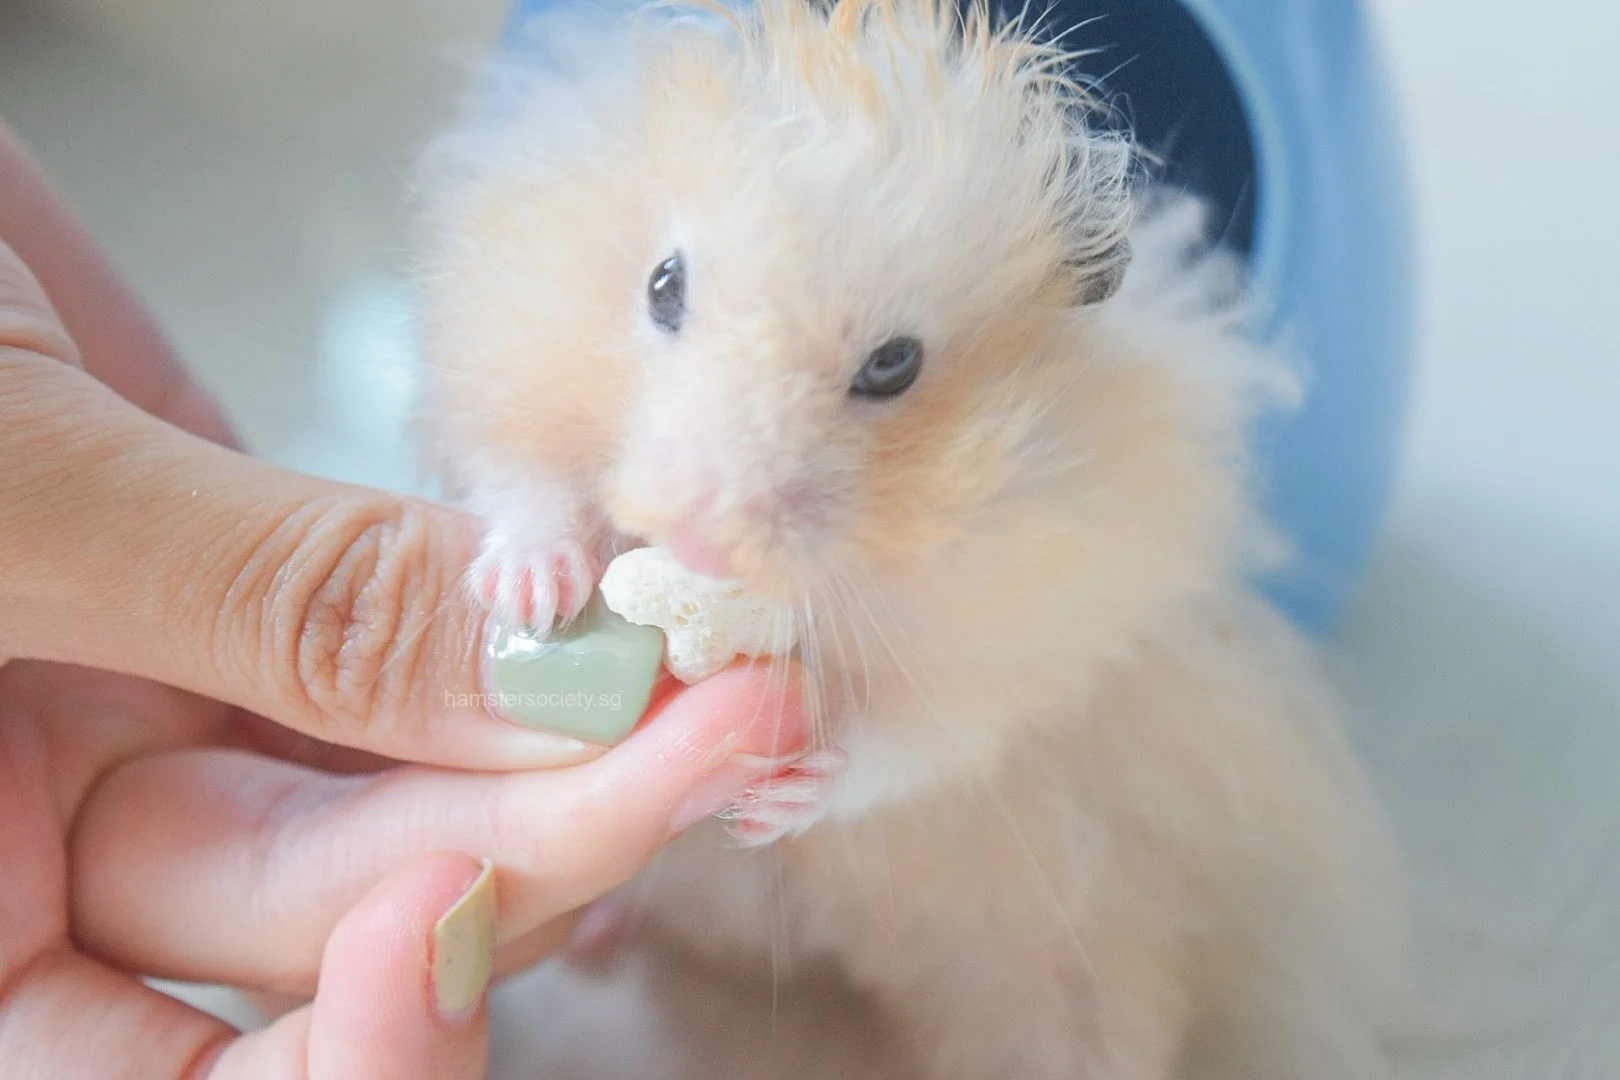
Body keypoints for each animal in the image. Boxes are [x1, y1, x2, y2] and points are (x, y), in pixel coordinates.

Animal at [410, 0, 1406, 1076]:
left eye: (894, 366)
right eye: (662, 285)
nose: (700, 538)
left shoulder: (1031, 644)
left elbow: (917, 744)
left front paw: (778, 807)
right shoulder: (505, 362)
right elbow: (521, 477)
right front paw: (532, 589)